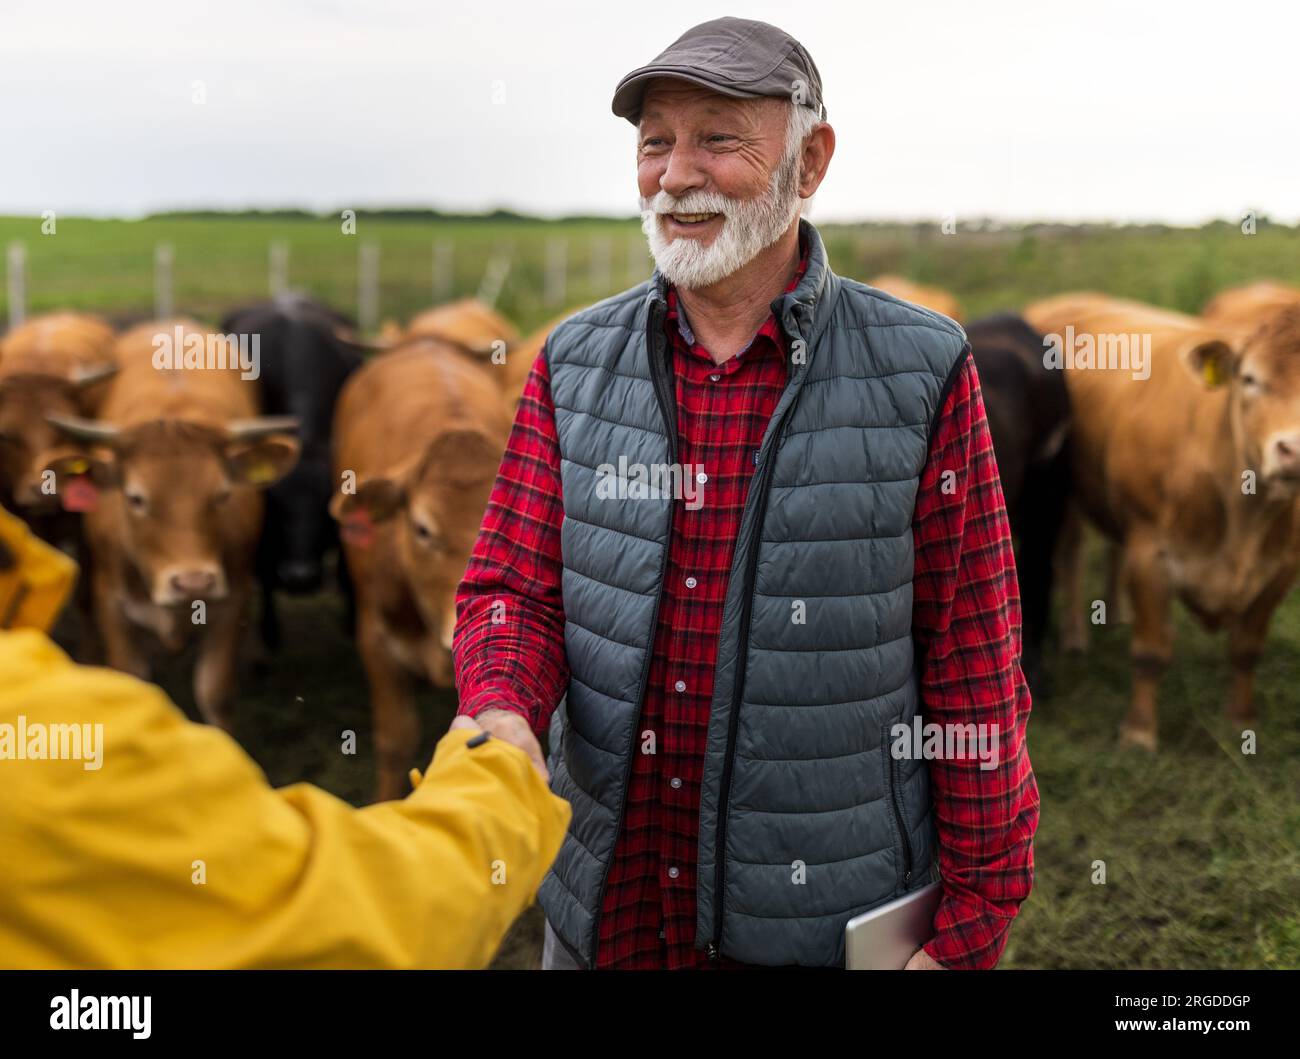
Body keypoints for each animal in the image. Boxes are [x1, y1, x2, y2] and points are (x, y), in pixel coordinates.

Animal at [43, 319, 300, 727]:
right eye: (135, 498)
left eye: (223, 495)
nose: (194, 582)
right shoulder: (111, 605)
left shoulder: (232, 604)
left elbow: (215, 692)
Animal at [1023, 293, 1300, 749]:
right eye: (1249, 379)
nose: (1292, 450)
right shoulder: (1150, 552)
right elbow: (1150, 652)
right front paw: (1138, 732)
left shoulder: (1280, 570)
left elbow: (1246, 649)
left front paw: (1240, 721)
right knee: (1070, 554)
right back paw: (1076, 636)